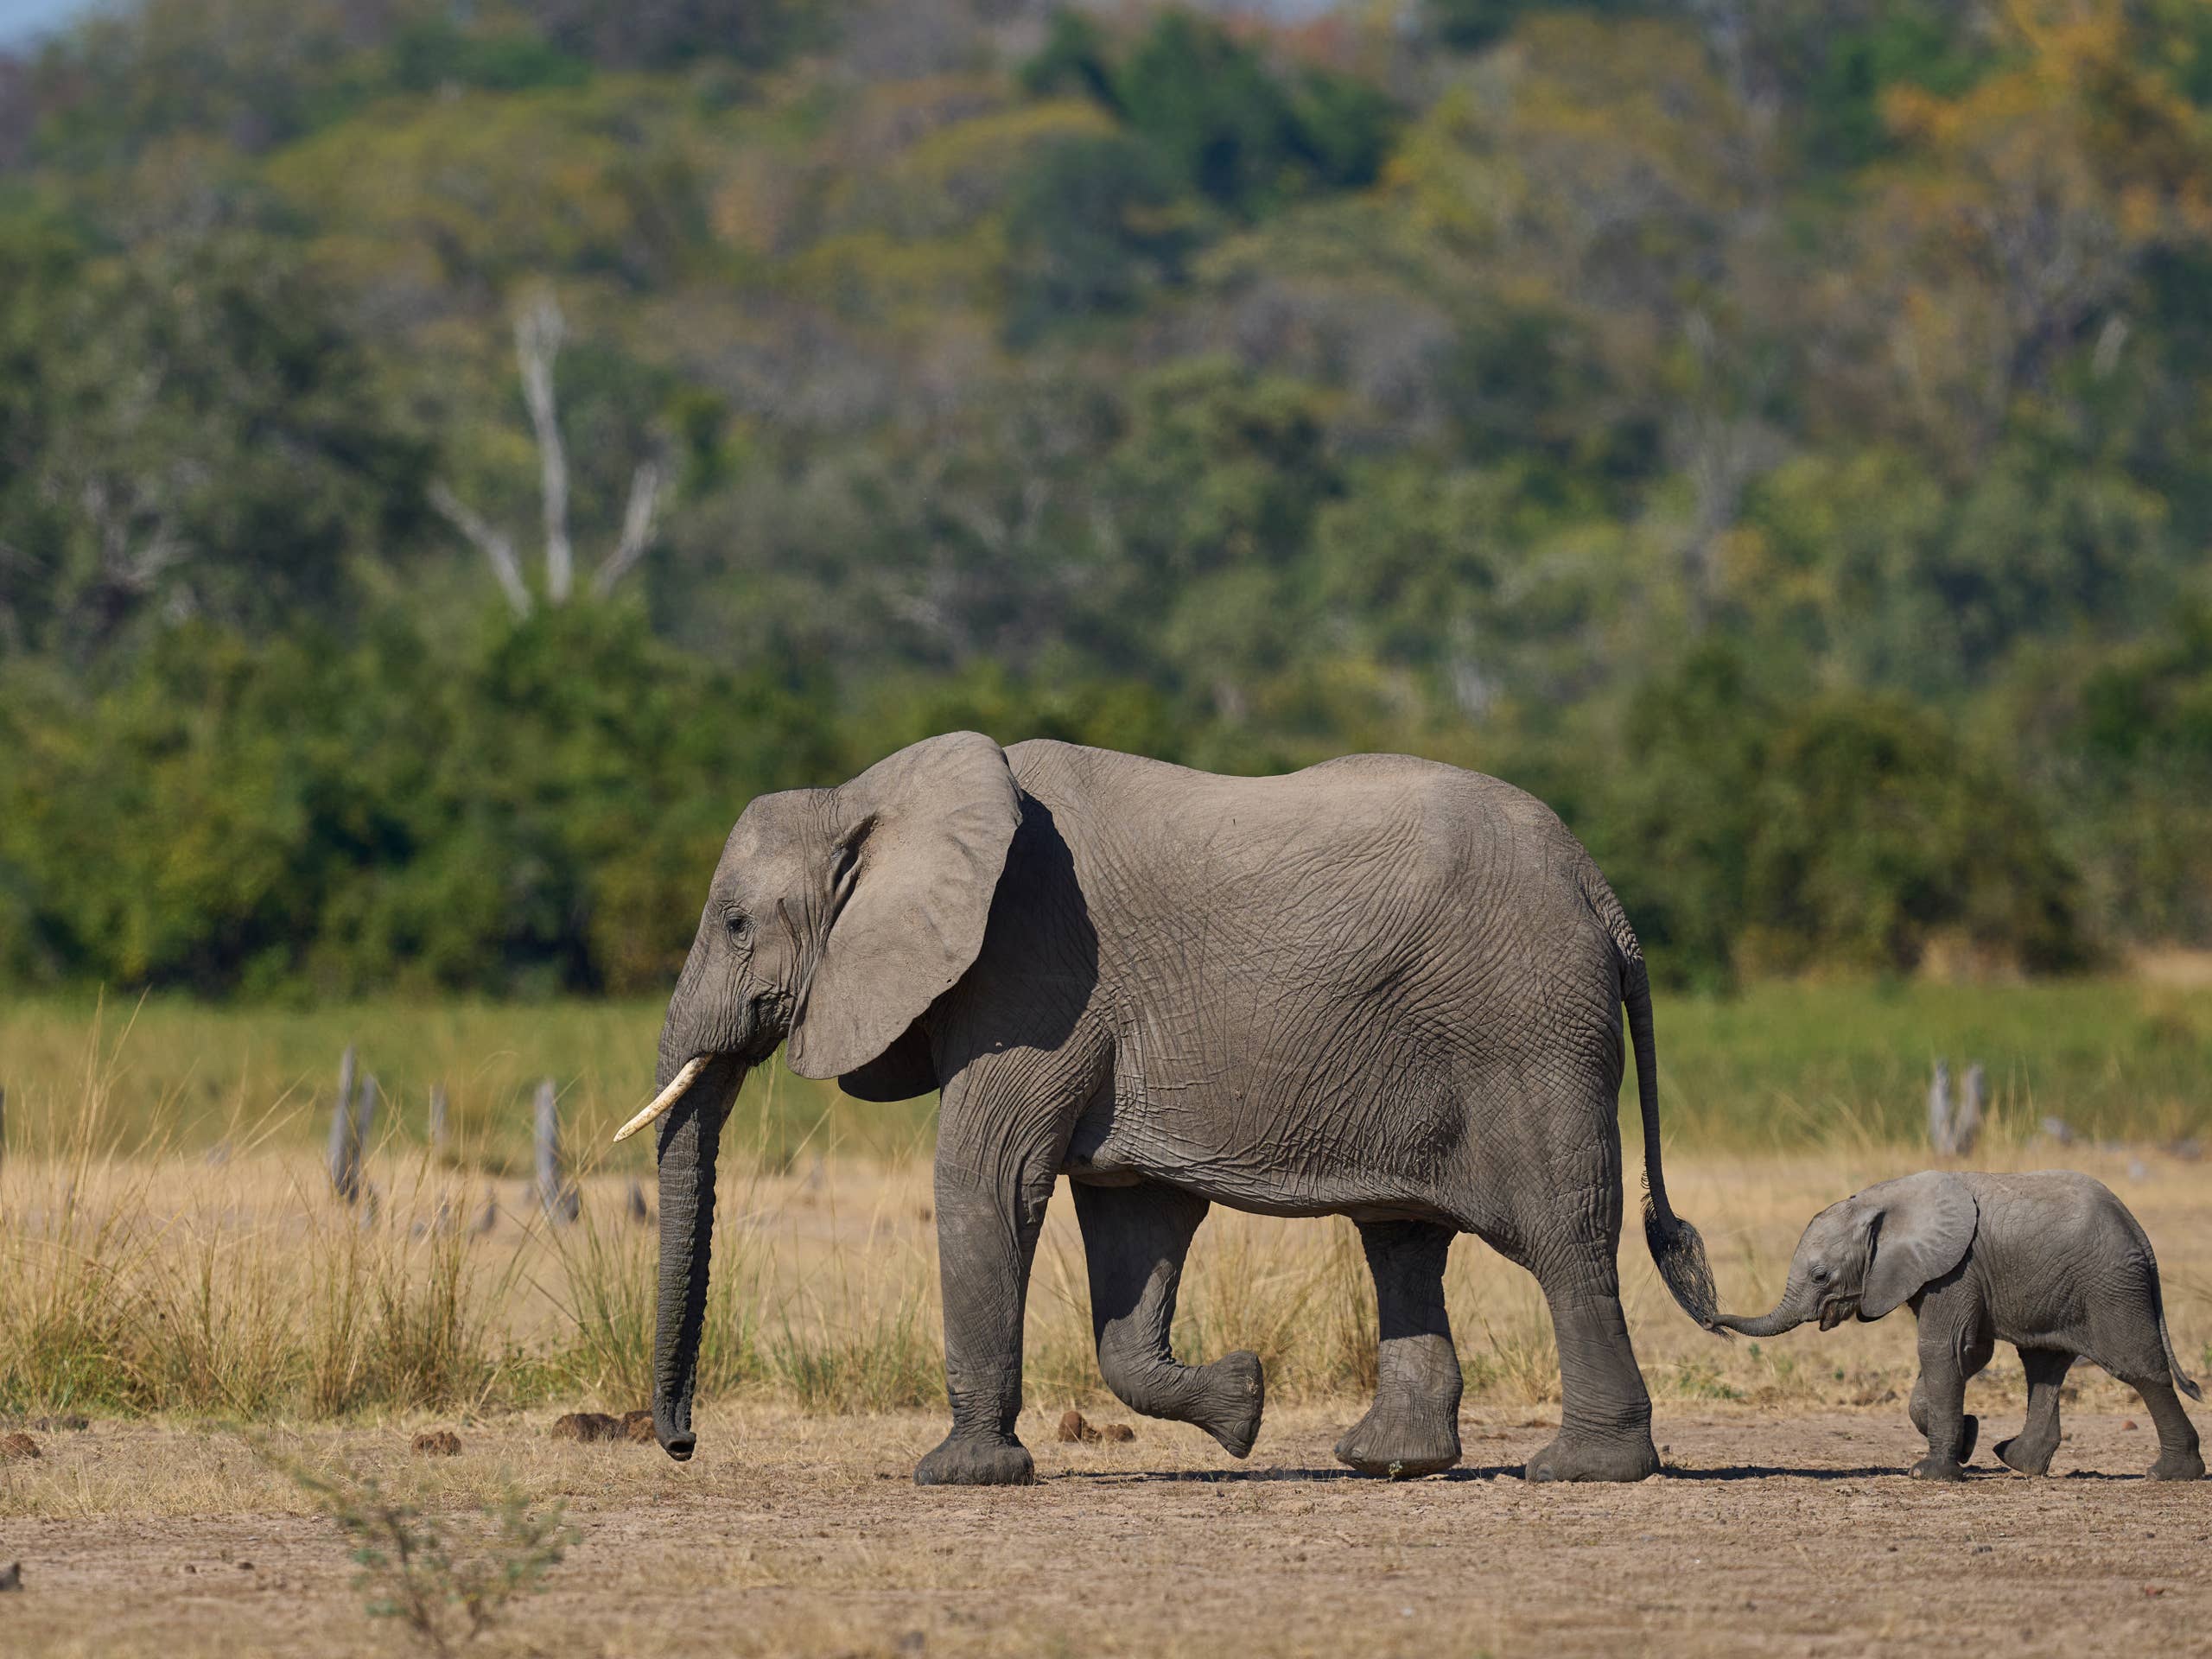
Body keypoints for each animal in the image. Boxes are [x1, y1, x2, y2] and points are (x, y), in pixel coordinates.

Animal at [619, 732, 1721, 1486]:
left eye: (735, 924)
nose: (679, 1443)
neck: (872, 797)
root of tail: (1601, 893)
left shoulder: (1033, 976)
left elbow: (987, 1179)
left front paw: (959, 1476)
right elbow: (1129, 1220)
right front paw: (1242, 1406)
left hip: (1526, 1031)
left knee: (1560, 1232)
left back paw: (1579, 1469)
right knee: (1402, 1237)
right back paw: (1384, 1461)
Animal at [1714, 1170, 2204, 1481]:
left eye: (1820, 1276)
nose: (1713, 1318)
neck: (1881, 1201)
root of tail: (2141, 1235)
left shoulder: (1954, 1270)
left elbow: (1941, 1349)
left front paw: (1928, 1473)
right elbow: (1969, 1354)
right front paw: (1967, 1438)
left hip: (2110, 1287)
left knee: (2137, 1368)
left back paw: (2169, 1475)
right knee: (2043, 1366)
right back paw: (2017, 1462)